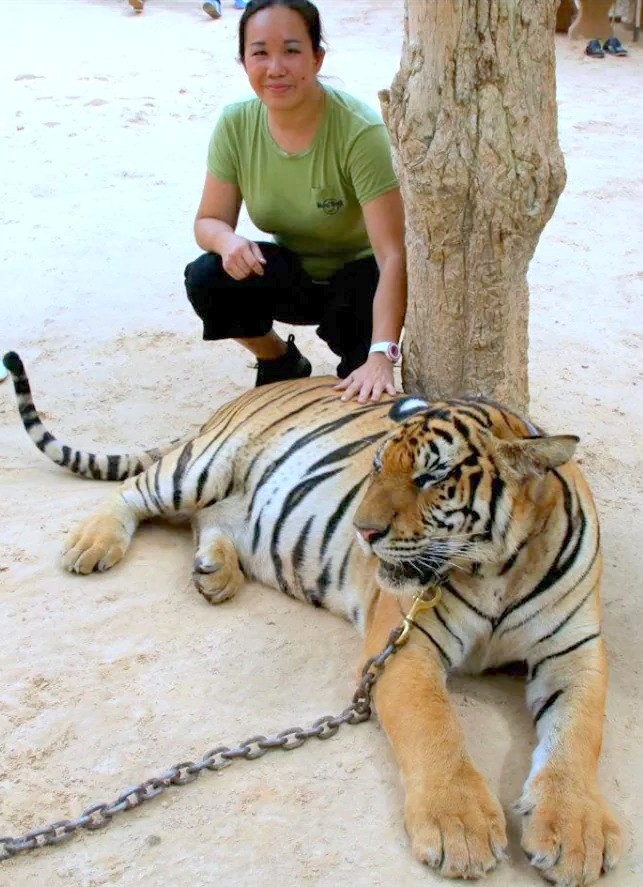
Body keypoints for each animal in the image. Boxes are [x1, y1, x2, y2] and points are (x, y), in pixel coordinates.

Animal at [3, 349, 621, 885]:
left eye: (429, 479)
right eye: (378, 465)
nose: (363, 532)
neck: (499, 568)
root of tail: (245, 395)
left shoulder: (574, 655)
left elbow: (577, 734)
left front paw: (576, 833)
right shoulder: (406, 643)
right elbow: (434, 725)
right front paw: (460, 826)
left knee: (210, 520)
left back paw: (216, 573)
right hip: (200, 466)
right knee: (136, 489)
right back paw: (92, 544)